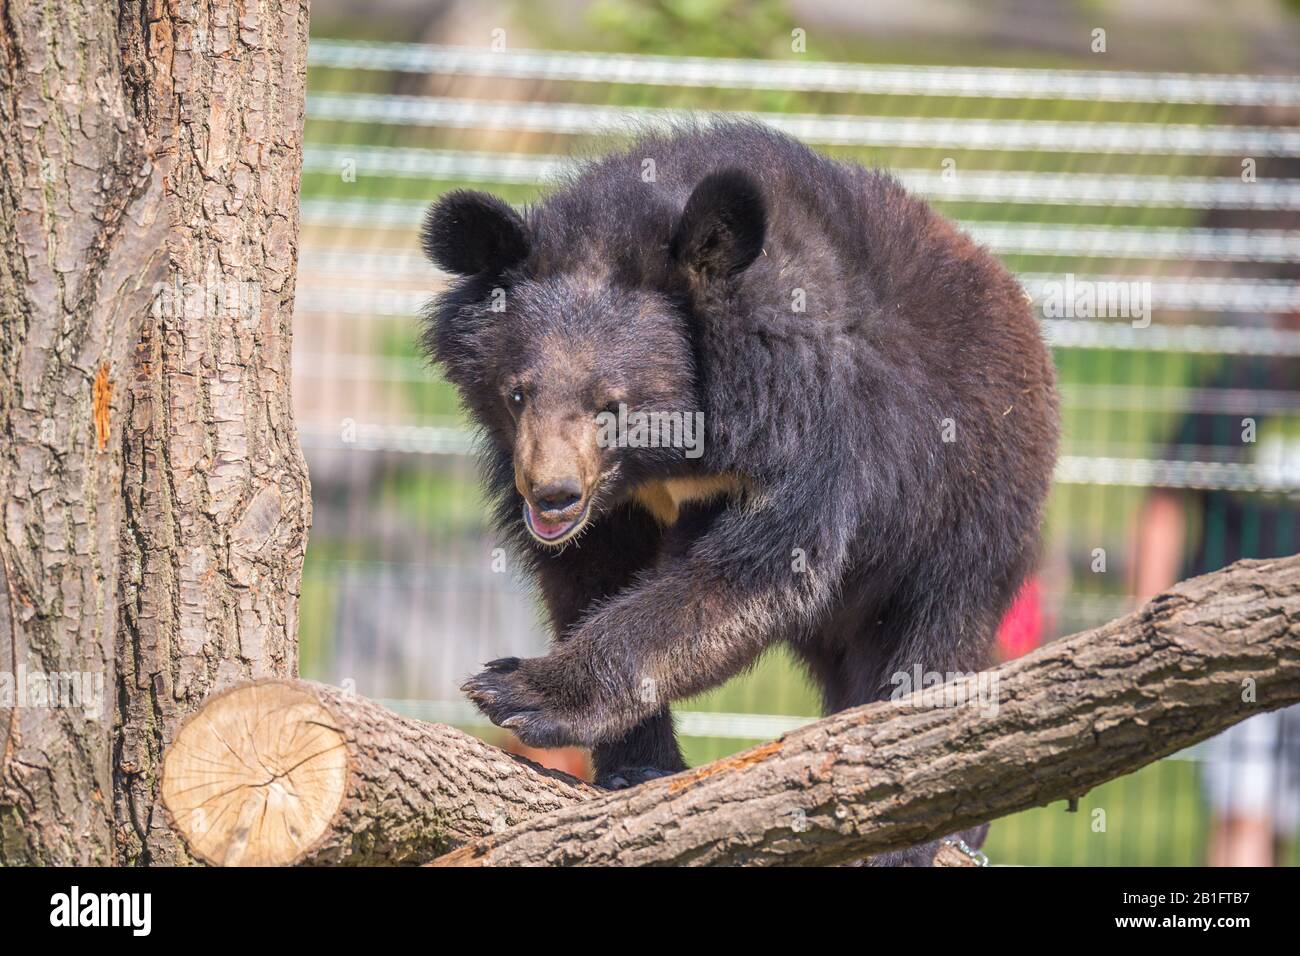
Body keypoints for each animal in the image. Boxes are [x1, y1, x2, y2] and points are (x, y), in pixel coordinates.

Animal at [420, 120, 1058, 865]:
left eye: (613, 406)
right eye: (517, 394)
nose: (552, 497)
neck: (676, 454)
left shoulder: (811, 426)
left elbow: (746, 578)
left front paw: (514, 690)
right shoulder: (617, 512)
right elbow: (591, 578)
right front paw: (637, 767)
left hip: (971, 503)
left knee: (936, 638)